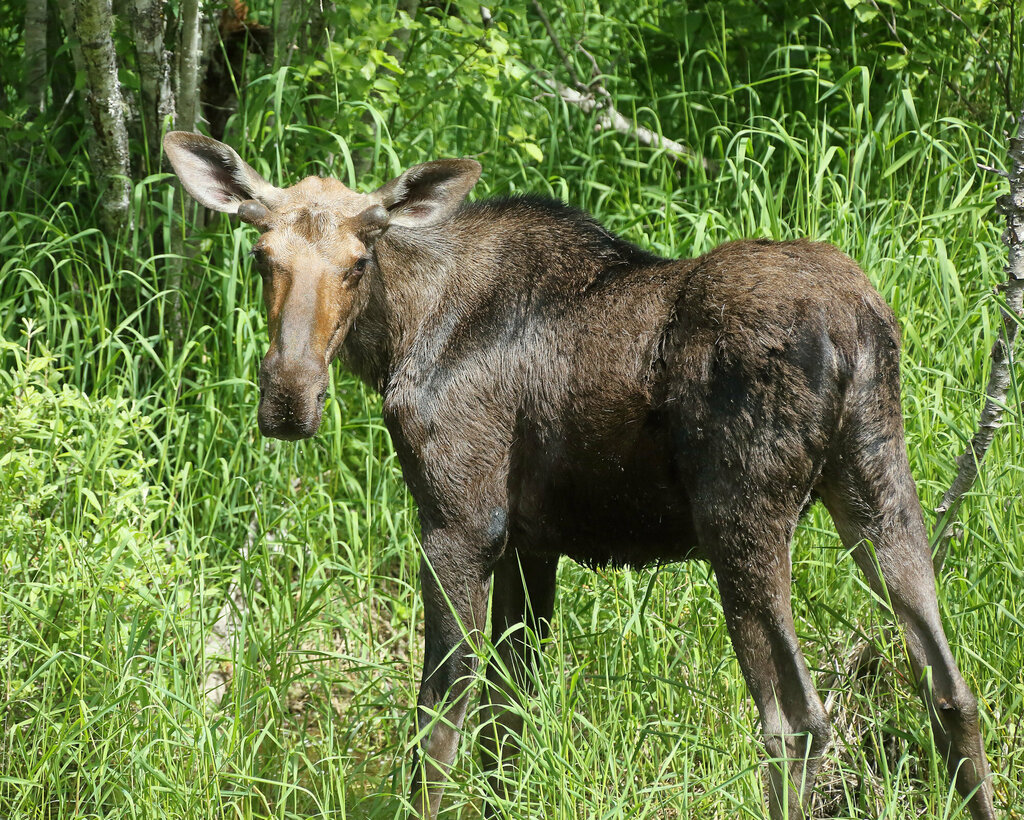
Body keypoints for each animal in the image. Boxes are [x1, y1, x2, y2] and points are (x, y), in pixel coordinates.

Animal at [163, 130, 997, 820]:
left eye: (358, 261)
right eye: (261, 256)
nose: (288, 398)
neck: (399, 334)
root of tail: (856, 330)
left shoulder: (459, 524)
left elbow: (440, 715)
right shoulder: (531, 544)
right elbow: (506, 719)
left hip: (741, 517)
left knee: (795, 723)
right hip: (879, 486)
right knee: (951, 690)